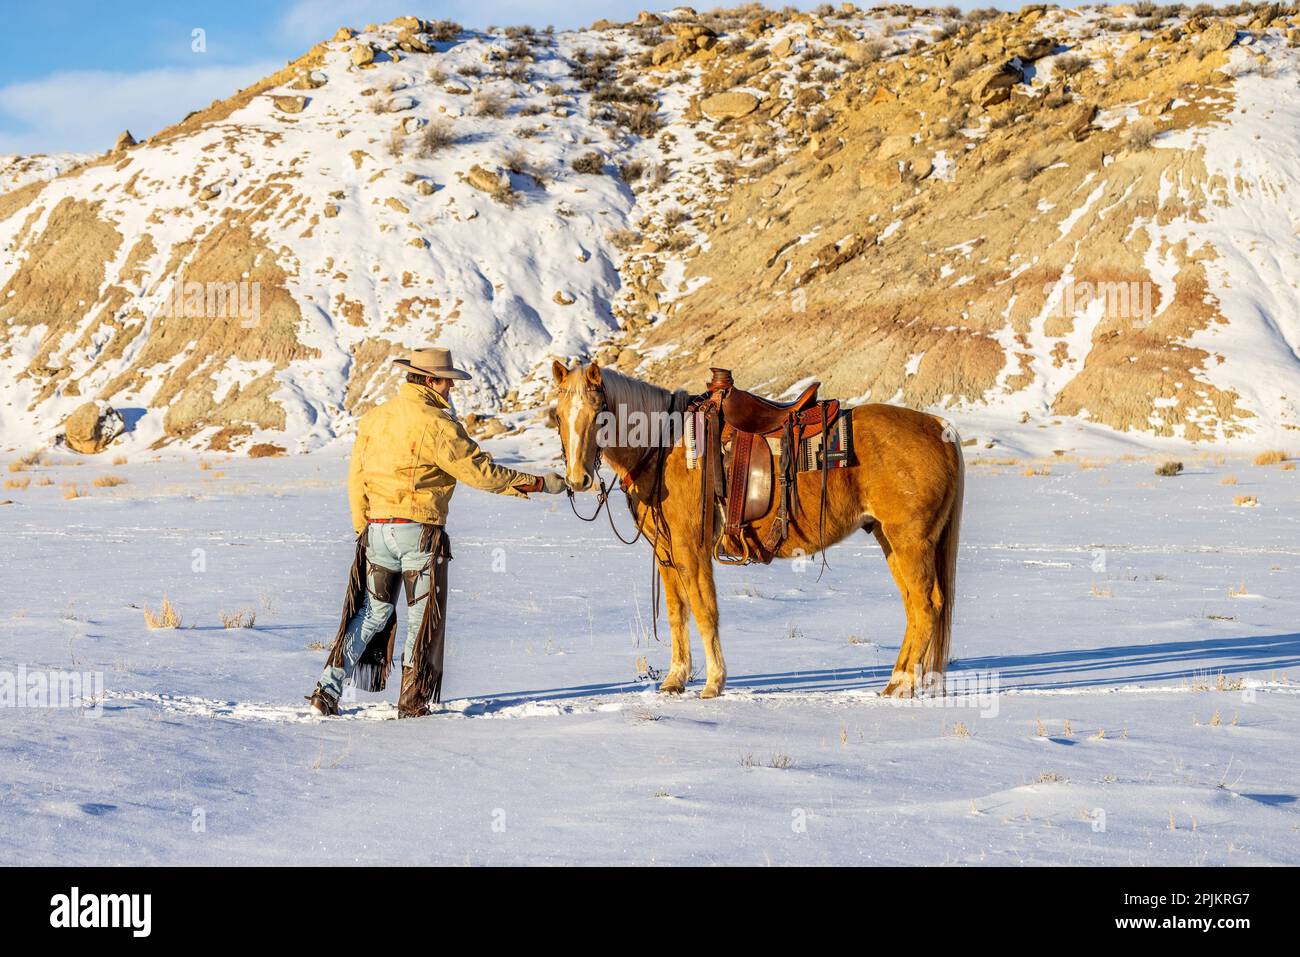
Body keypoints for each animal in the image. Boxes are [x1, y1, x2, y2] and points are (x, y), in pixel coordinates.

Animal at [551, 360, 964, 698]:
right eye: (557, 415)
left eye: (598, 413)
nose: (577, 479)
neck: (666, 447)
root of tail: (939, 427)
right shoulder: (666, 553)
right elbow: (676, 613)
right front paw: (675, 680)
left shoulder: (691, 548)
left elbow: (705, 609)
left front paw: (714, 682)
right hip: (890, 539)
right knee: (915, 607)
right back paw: (894, 683)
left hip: (910, 541)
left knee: (926, 606)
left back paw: (903, 685)